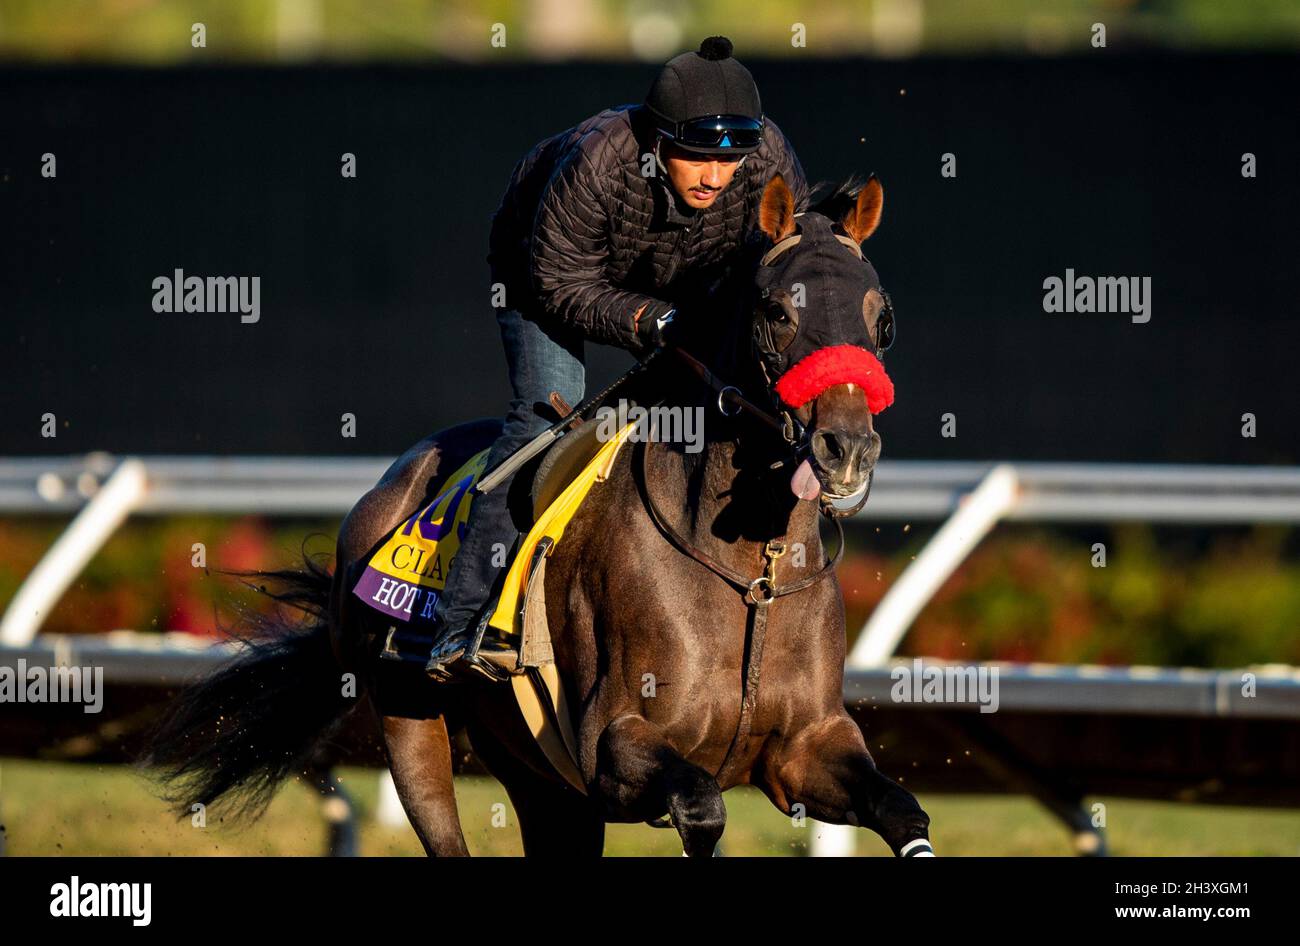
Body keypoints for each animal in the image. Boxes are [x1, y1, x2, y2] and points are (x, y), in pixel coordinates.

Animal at [142, 172, 934, 858]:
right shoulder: (610, 748)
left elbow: (902, 809)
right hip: (411, 720)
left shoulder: (805, 749)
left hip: (537, 775)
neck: (751, 576)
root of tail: (386, 491)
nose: (847, 450)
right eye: (777, 312)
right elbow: (702, 804)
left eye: (883, 317)